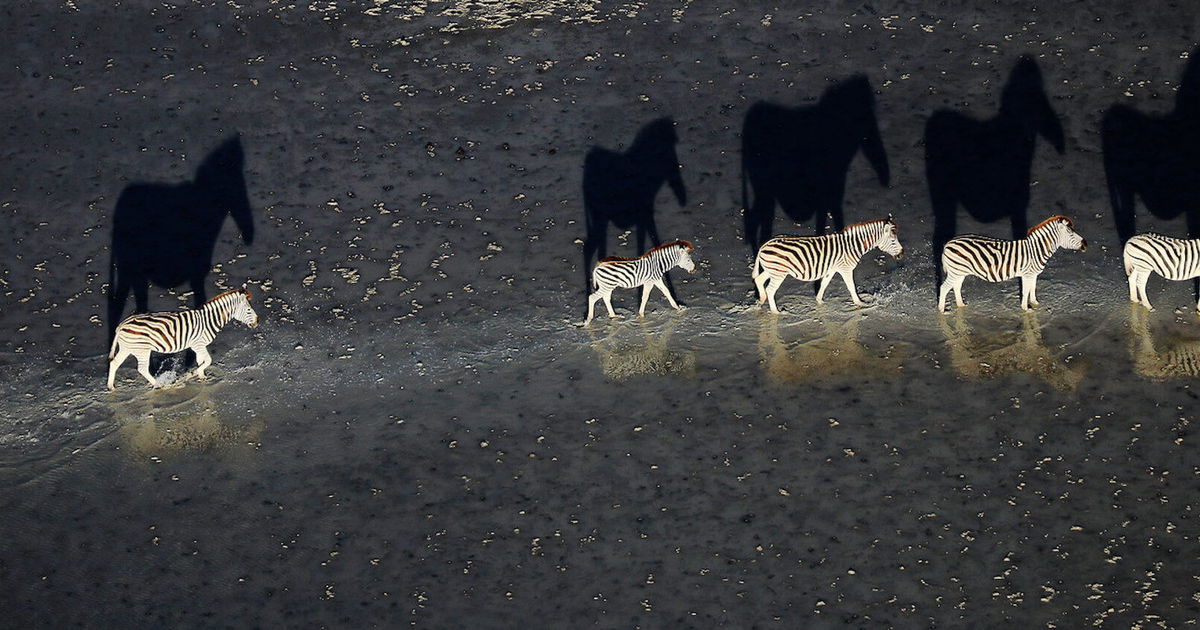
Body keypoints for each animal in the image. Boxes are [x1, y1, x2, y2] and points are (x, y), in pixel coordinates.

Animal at [107, 289, 259, 390]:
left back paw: (111, 387)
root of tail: (122, 324)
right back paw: (159, 385)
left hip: (127, 348)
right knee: (142, 369)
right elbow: (208, 360)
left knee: (114, 363)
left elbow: (201, 361)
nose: (257, 321)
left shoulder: (197, 346)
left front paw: (202, 376)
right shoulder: (198, 344)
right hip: (142, 350)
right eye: (248, 310)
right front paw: (195, 373)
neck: (208, 320)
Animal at [751, 217, 904, 312]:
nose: (902, 254)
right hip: (778, 273)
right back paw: (776, 312)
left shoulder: (832, 268)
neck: (853, 246)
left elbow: (824, 284)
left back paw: (761, 300)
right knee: (771, 290)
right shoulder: (845, 269)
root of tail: (765, 244)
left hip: (772, 270)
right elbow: (851, 287)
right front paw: (860, 303)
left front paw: (820, 301)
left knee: (758, 279)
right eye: (893, 241)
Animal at [937, 215, 1086, 312]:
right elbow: (1026, 291)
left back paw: (961, 305)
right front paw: (1026, 309)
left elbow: (1032, 288)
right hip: (956, 271)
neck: (1036, 250)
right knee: (944, 288)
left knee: (956, 287)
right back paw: (942, 310)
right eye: (1070, 233)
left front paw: (1035, 303)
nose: (1086, 244)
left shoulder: (1033, 275)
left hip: (959, 272)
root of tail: (948, 243)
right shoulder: (1027, 274)